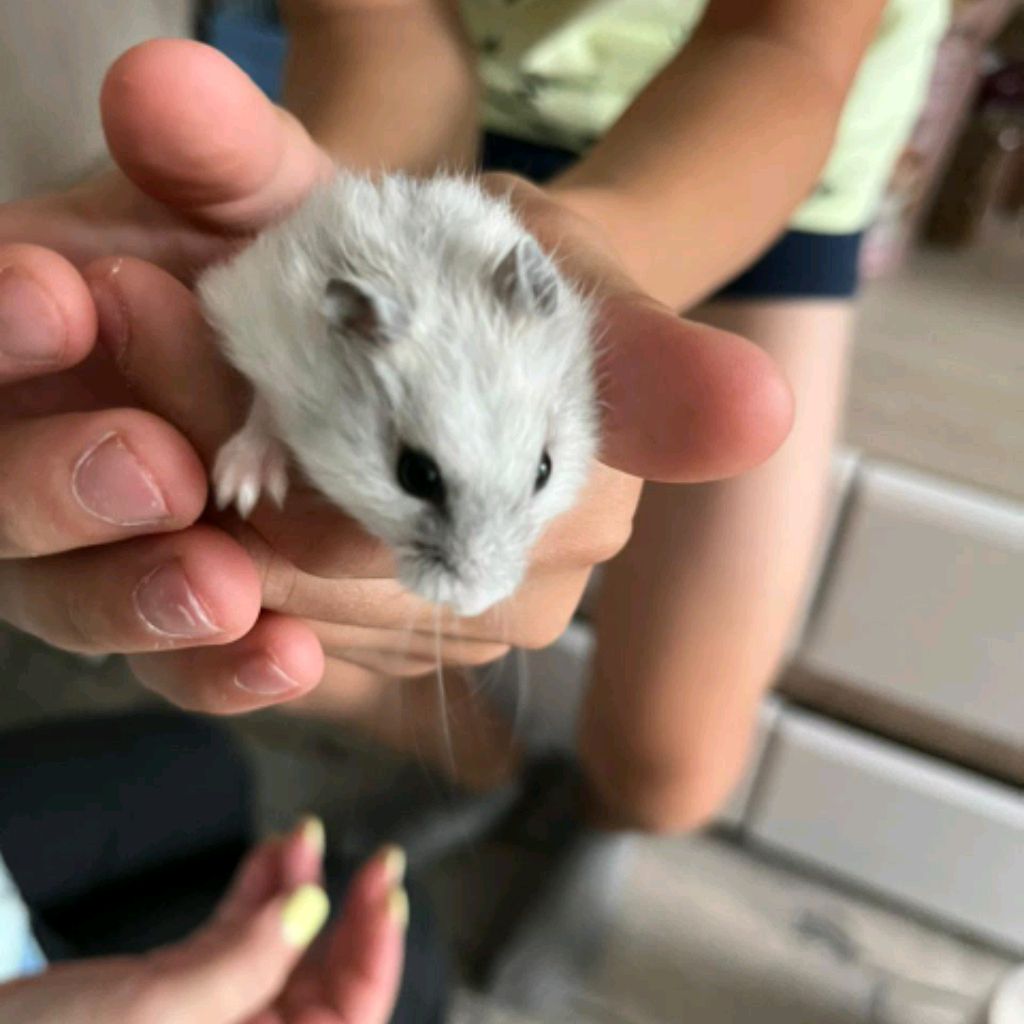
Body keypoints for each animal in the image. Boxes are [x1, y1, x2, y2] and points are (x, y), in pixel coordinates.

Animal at [198, 172, 598, 618]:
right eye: (416, 475)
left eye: (544, 470)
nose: (474, 603)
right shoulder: (266, 340)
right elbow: (265, 409)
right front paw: (242, 494)